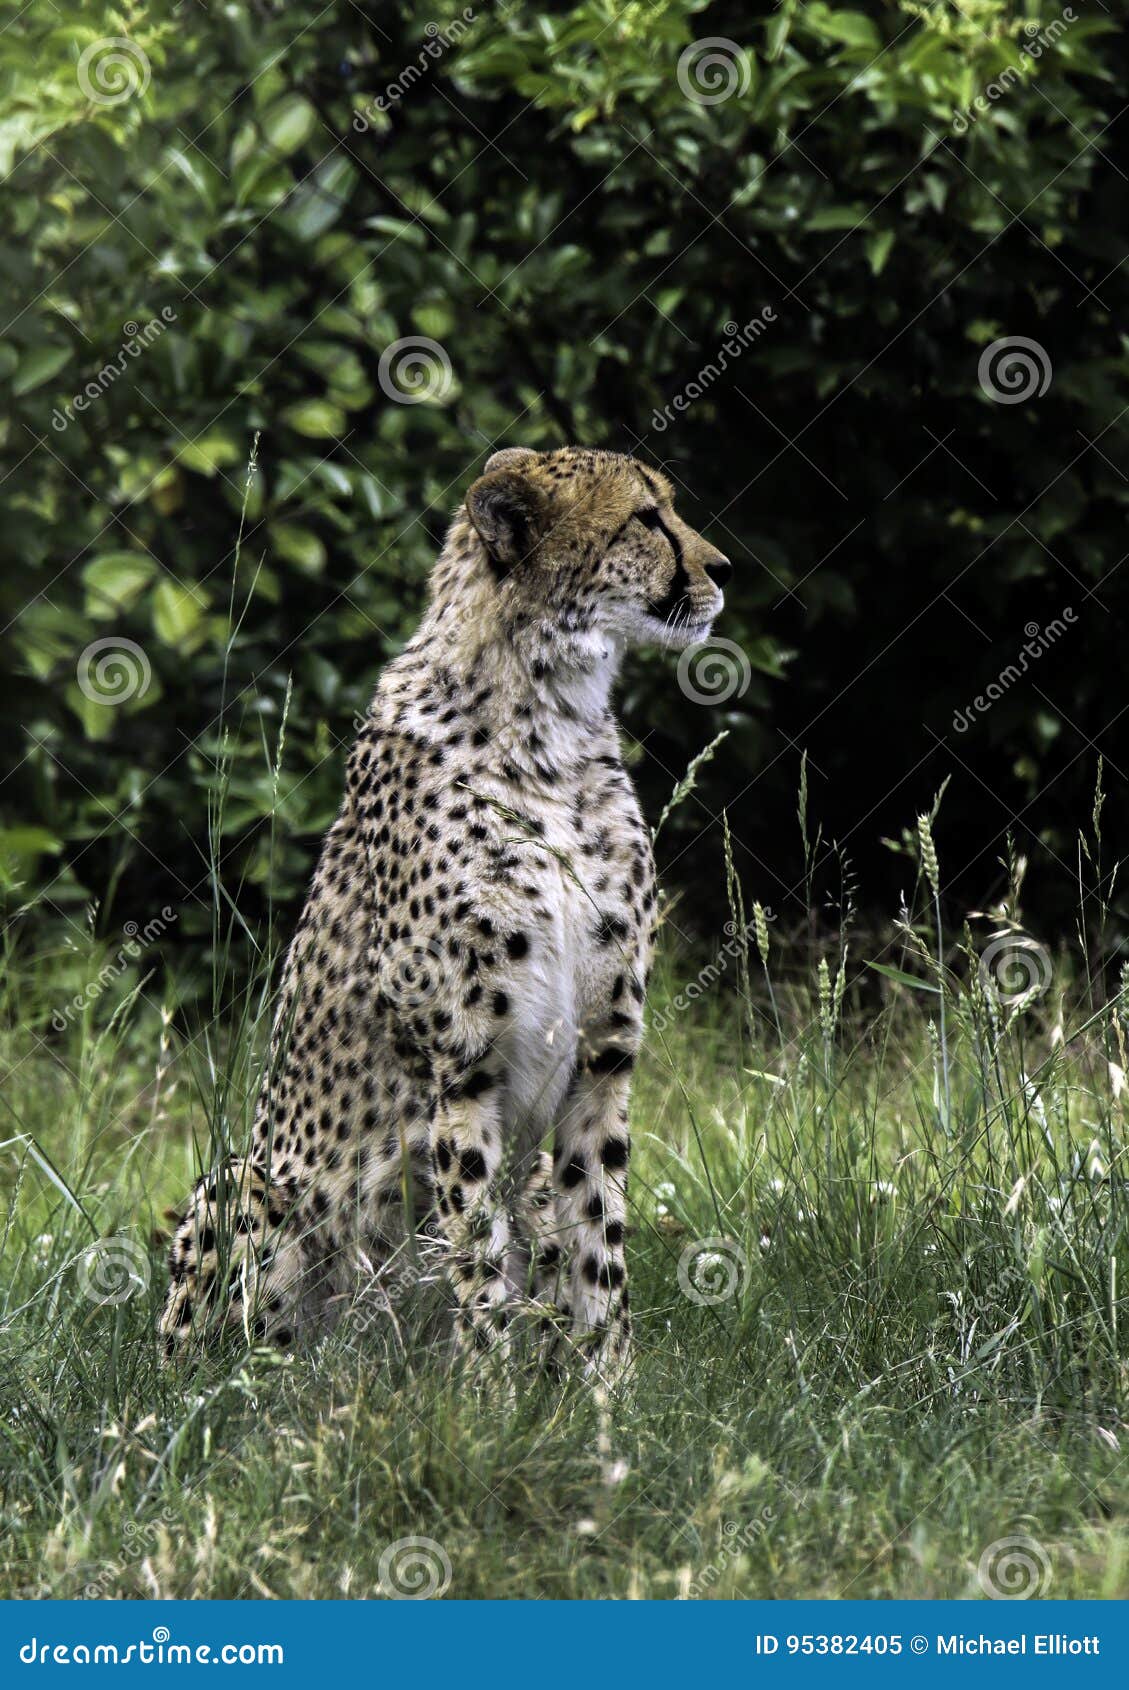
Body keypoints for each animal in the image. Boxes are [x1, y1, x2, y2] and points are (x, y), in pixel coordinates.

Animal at [159, 445, 731, 1380]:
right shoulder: (462, 1067)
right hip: (249, 1186)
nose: (722, 570)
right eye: (646, 517)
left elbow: (597, 1235)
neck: (551, 722)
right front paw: (488, 1392)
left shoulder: (604, 1057)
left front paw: (605, 1391)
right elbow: (474, 1245)